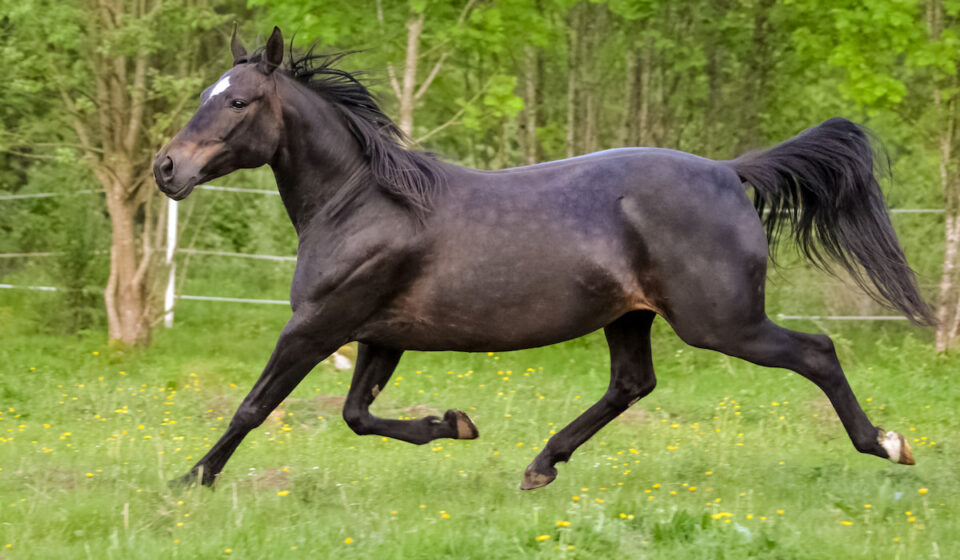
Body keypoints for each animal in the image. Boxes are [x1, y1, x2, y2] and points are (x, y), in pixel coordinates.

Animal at [154, 26, 933, 490]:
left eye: (239, 102)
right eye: (207, 95)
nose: (166, 169)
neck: (363, 201)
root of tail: (727, 171)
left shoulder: (318, 325)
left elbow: (255, 406)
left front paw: (191, 480)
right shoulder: (378, 334)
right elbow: (357, 414)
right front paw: (453, 424)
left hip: (721, 322)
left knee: (817, 351)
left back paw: (889, 444)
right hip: (632, 316)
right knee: (631, 385)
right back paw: (540, 465)